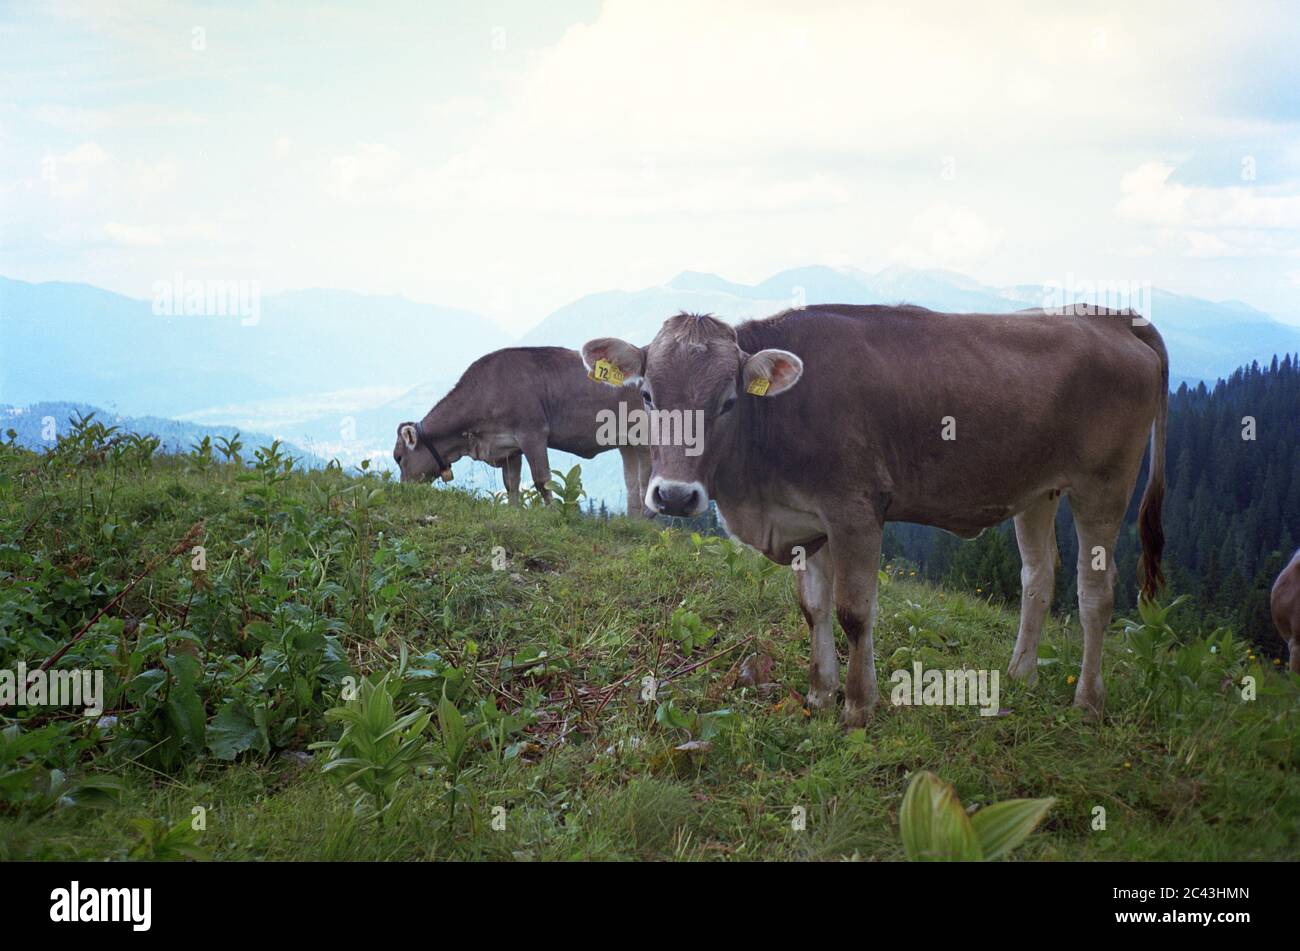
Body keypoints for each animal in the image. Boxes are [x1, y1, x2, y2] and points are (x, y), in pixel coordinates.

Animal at [393, 346, 652, 516]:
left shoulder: (533, 434)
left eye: (398, 457)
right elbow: (511, 483)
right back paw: (634, 522)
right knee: (633, 484)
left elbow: (542, 480)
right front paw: (514, 511)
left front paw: (553, 514)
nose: (402, 488)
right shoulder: (509, 447)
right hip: (627, 443)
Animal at [583, 304, 1168, 726]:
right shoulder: (806, 520)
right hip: (1038, 490)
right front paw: (820, 693)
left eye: (728, 401)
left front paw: (859, 706)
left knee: (1095, 593)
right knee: (1039, 577)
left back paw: (1088, 701)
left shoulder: (856, 511)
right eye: (648, 396)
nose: (675, 496)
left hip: (1103, 485)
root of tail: (1110, 316)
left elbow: (854, 611)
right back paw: (1020, 674)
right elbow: (813, 607)